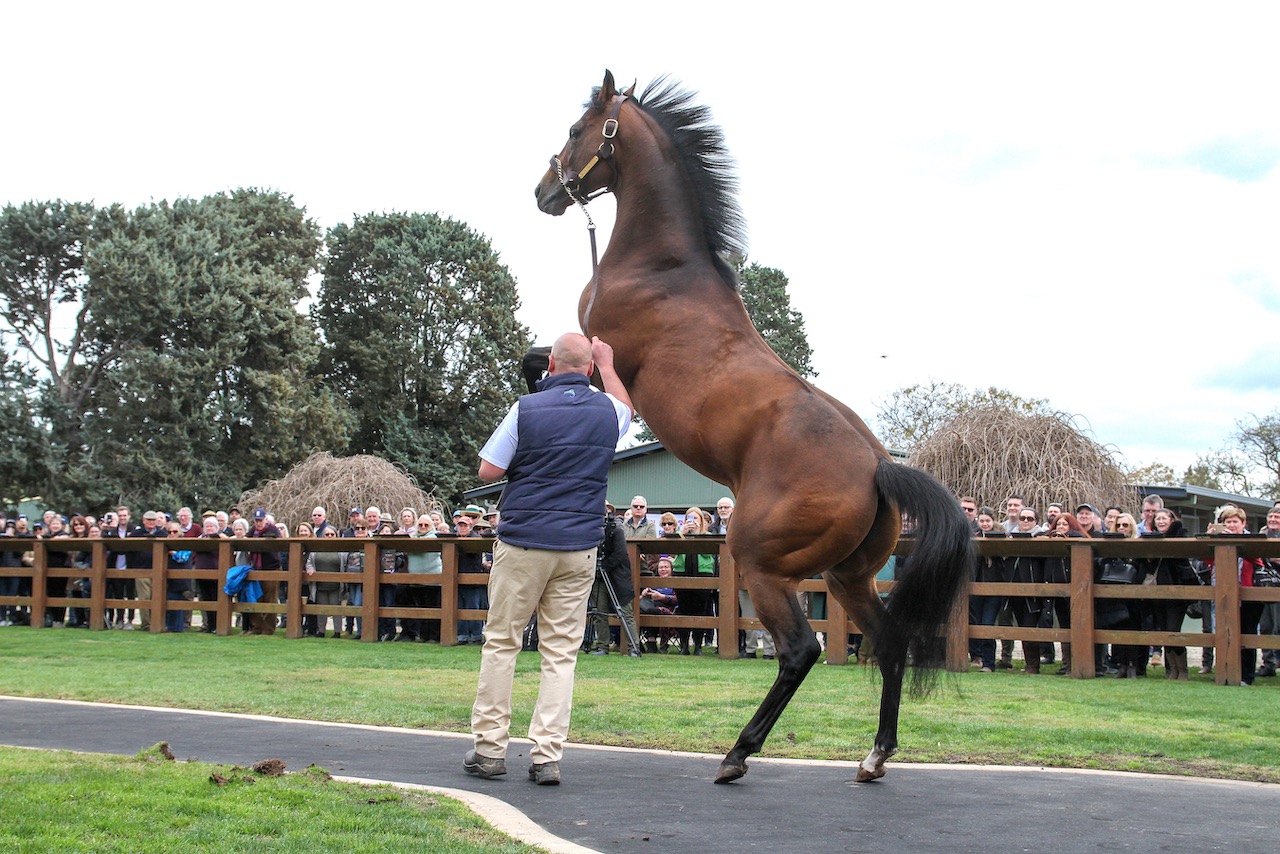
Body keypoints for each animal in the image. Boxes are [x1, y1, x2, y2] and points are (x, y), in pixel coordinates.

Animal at [533, 70, 973, 785]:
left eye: (576, 130)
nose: (542, 190)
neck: (661, 265)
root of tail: (879, 466)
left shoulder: (601, 357)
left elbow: (549, 361)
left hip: (762, 564)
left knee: (800, 649)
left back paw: (738, 753)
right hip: (847, 577)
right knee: (888, 641)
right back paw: (874, 756)